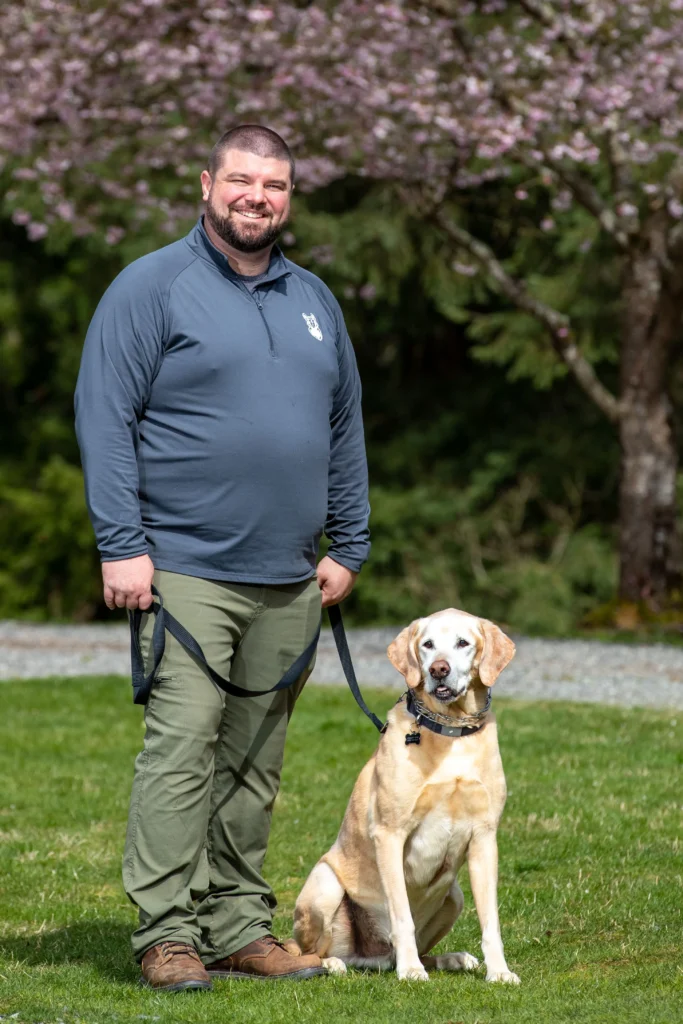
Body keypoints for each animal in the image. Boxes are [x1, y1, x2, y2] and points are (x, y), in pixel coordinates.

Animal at [290, 606, 520, 983]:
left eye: (463, 643)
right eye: (427, 644)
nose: (438, 669)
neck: (450, 731)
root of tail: (372, 957)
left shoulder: (485, 838)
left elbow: (491, 922)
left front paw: (499, 972)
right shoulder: (390, 834)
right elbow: (402, 917)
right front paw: (410, 970)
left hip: (455, 895)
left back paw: (454, 959)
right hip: (324, 885)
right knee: (306, 950)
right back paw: (333, 963)